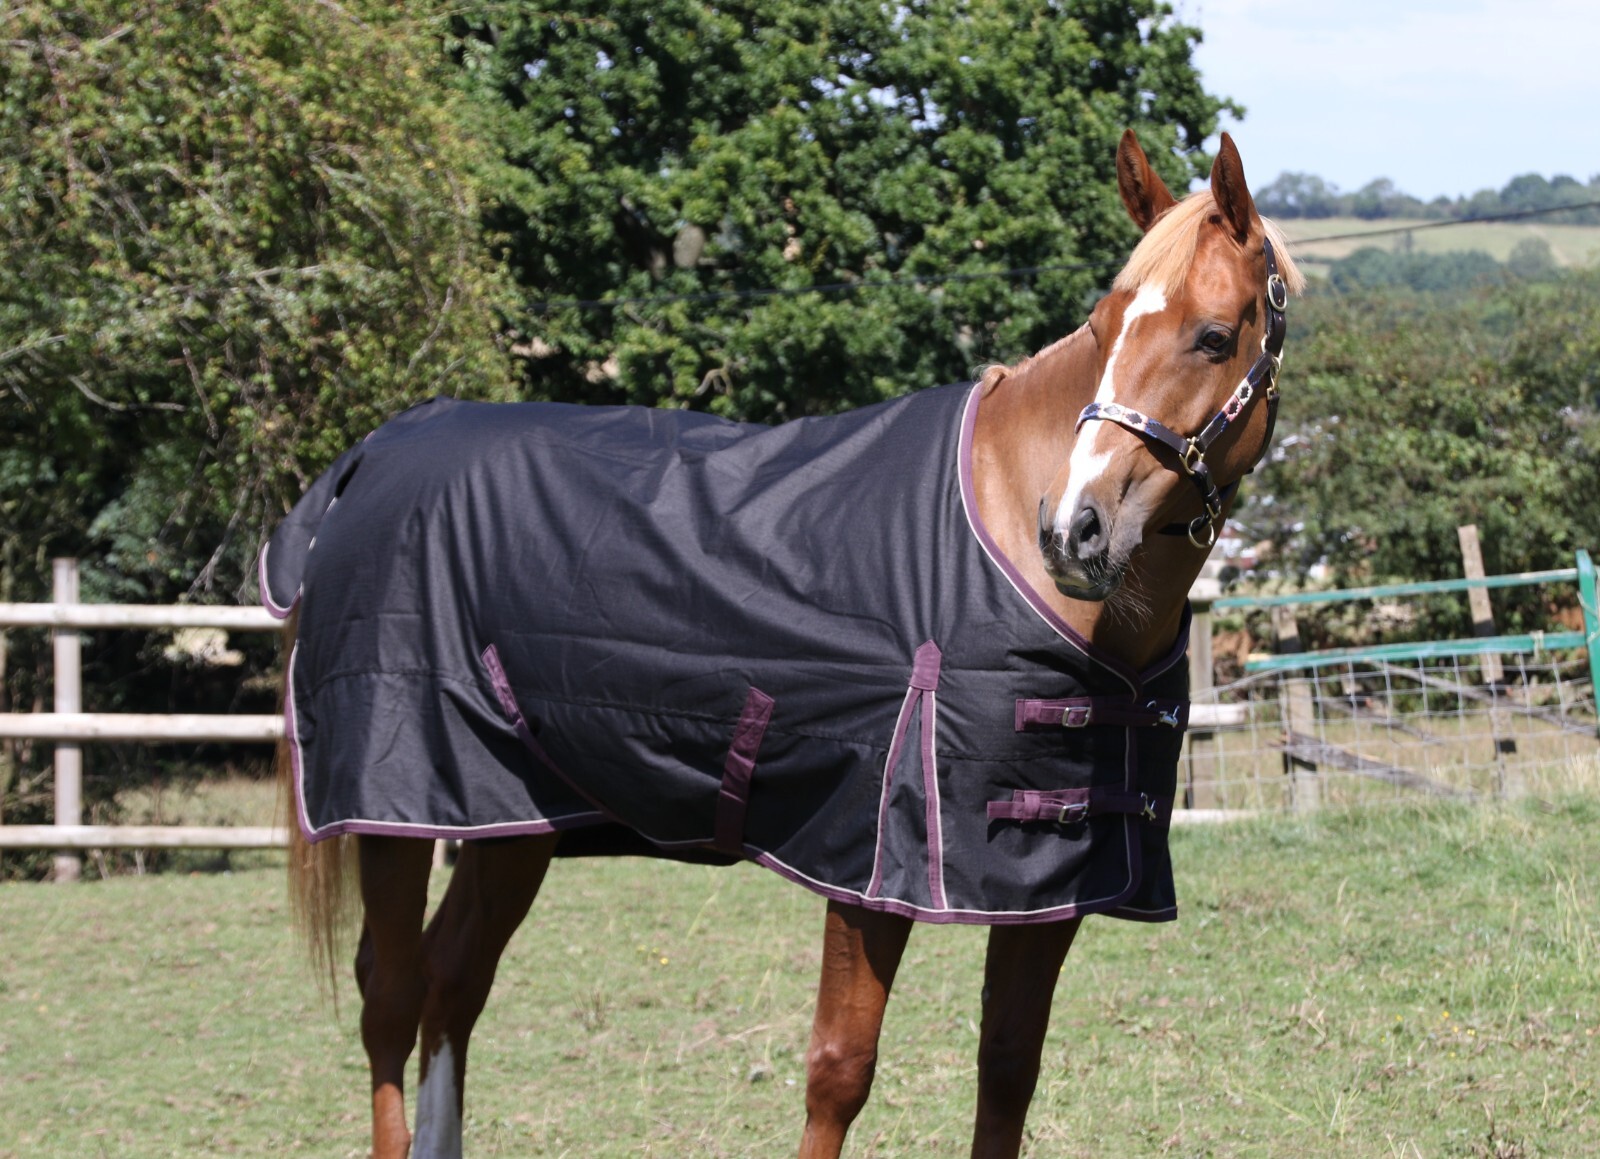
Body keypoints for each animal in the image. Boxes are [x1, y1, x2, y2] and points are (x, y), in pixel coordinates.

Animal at [265, 130, 1303, 1158]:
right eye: (1103, 322)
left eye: (1214, 336)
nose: (1073, 530)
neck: (1001, 533)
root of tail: (376, 455)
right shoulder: (868, 862)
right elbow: (840, 1071)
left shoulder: (1049, 881)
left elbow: (1009, 1066)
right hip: (390, 807)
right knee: (391, 994)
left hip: (508, 812)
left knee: (454, 977)